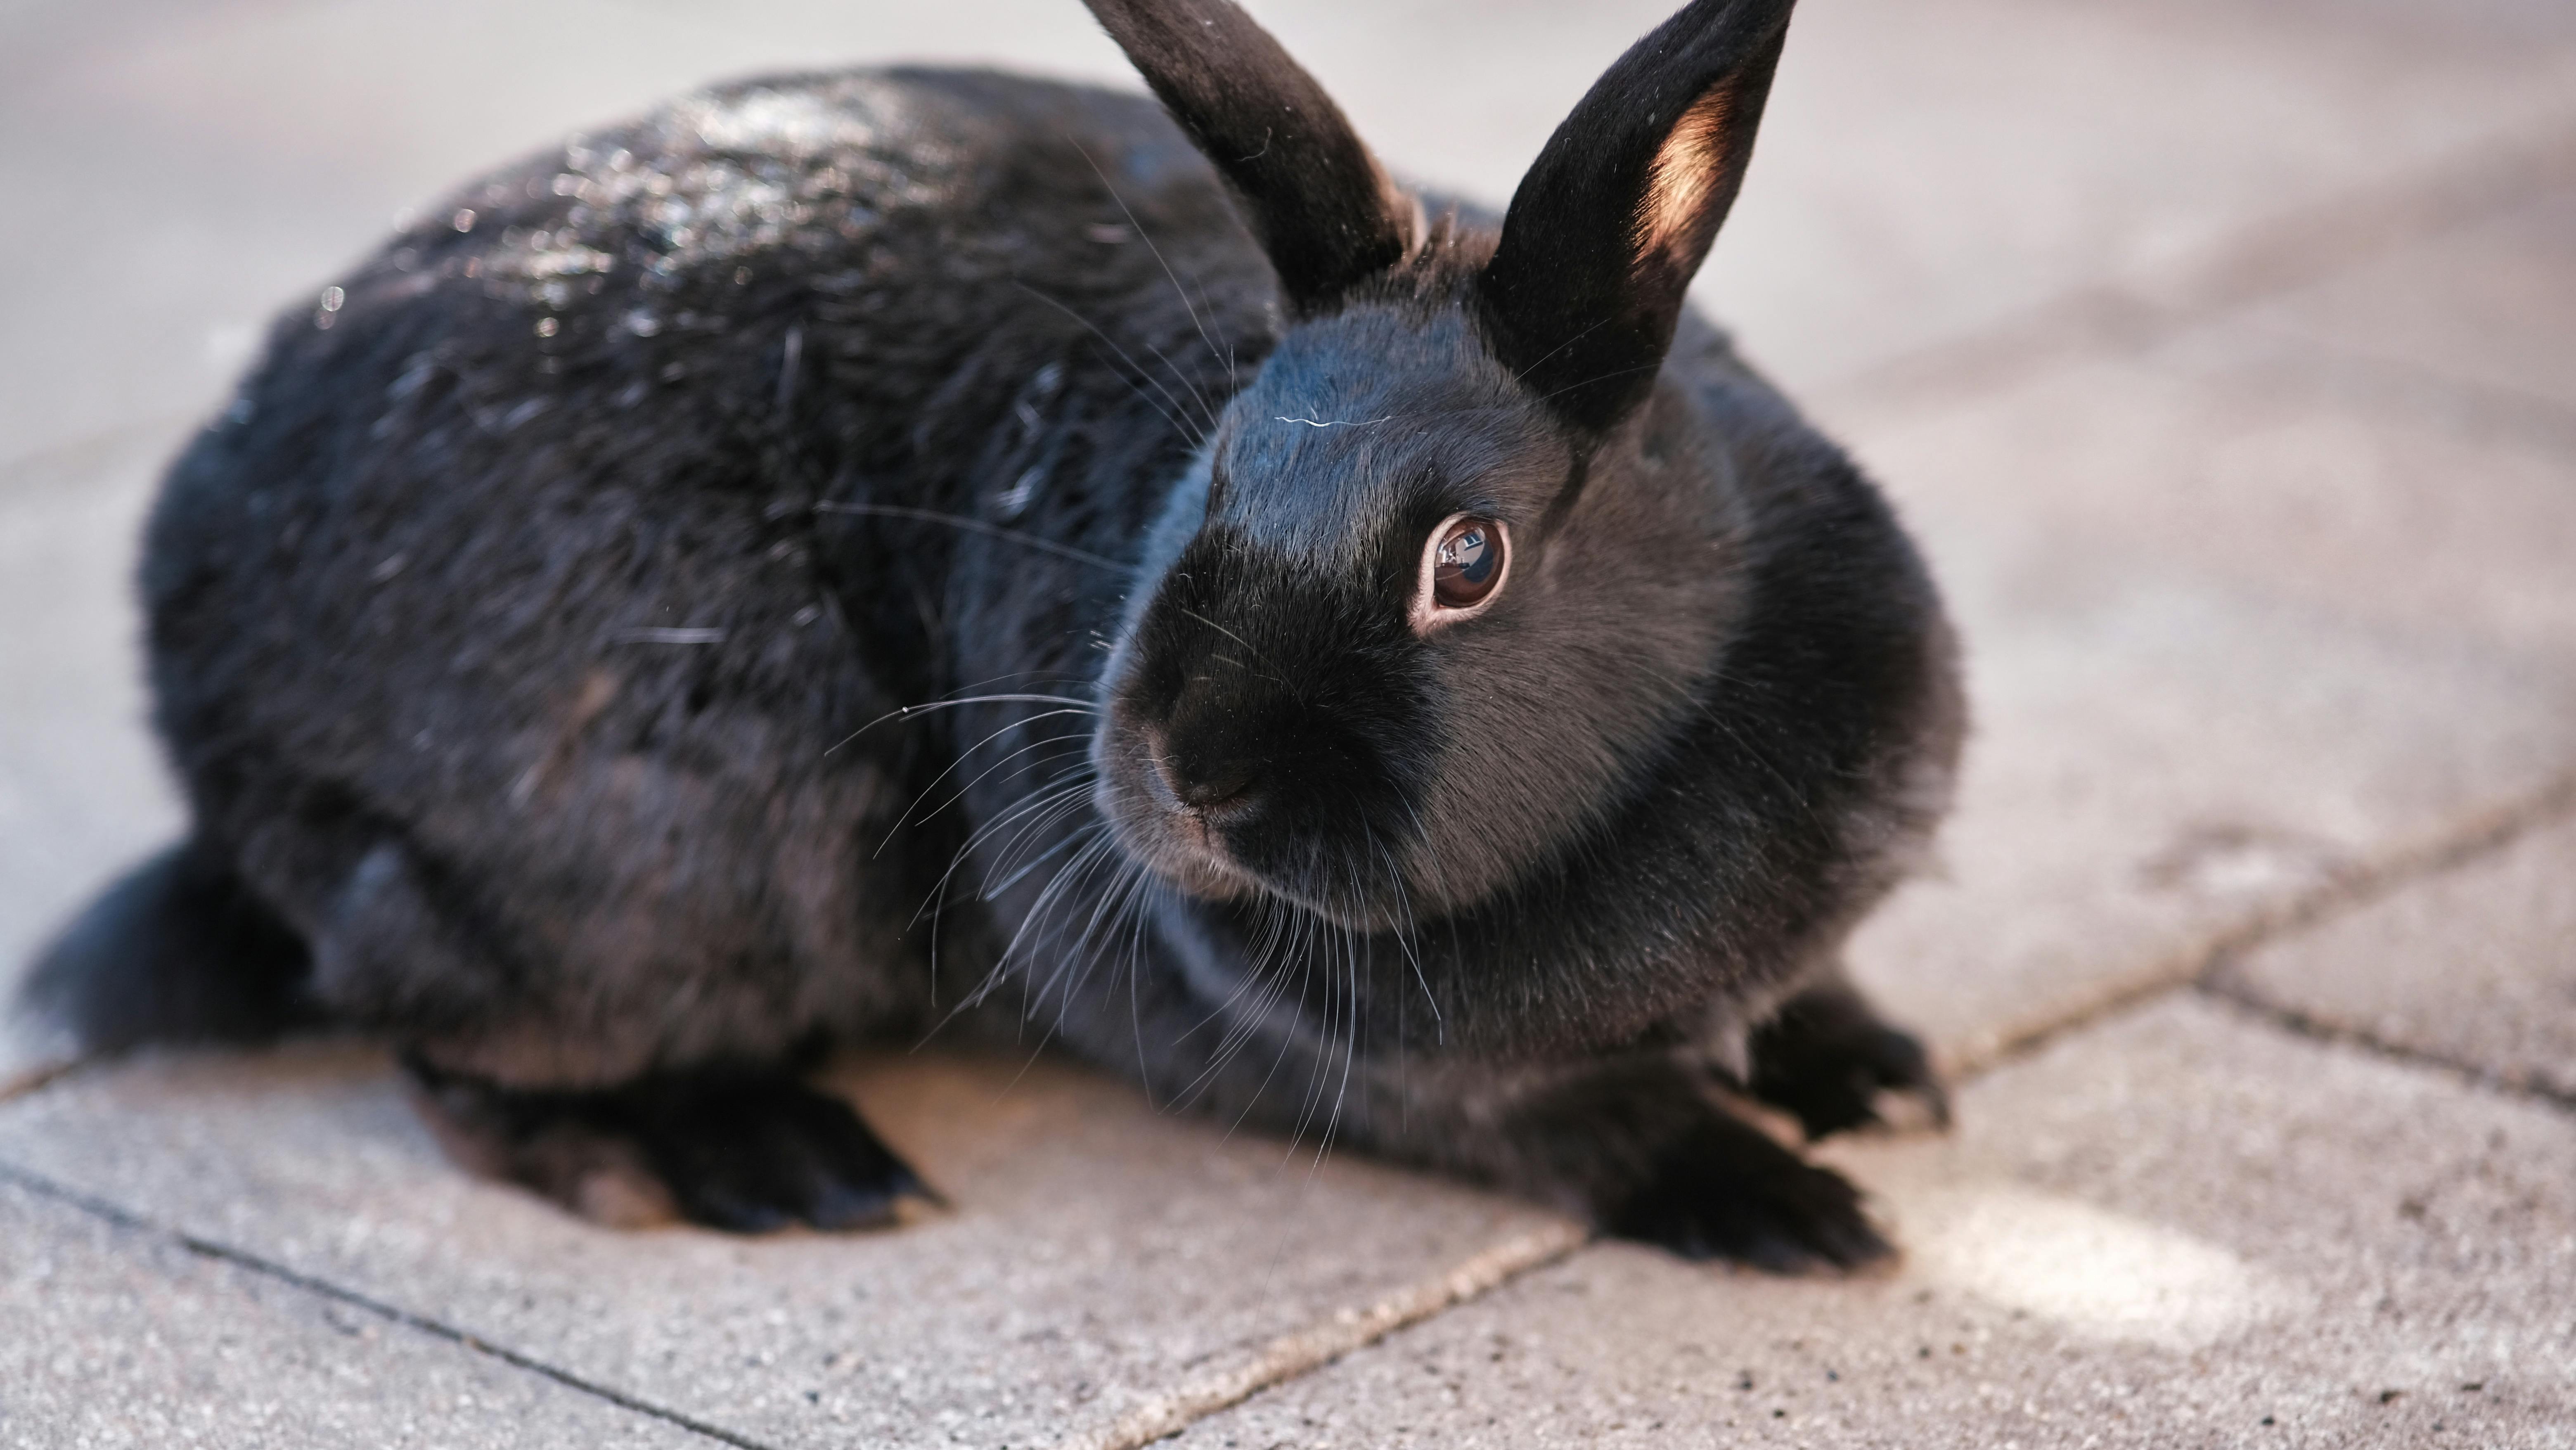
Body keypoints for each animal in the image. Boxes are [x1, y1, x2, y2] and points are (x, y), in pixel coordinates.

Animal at [21, 0, 1961, 1270]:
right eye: (1214, 468)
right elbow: (1586, 1127)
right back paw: (764, 1165)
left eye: (1465, 560)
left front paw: (1887, 1083)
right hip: (654, 864)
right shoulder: (1399, 1084)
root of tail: (195, 668)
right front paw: (1800, 1215)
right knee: (445, 1040)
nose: (1189, 779)